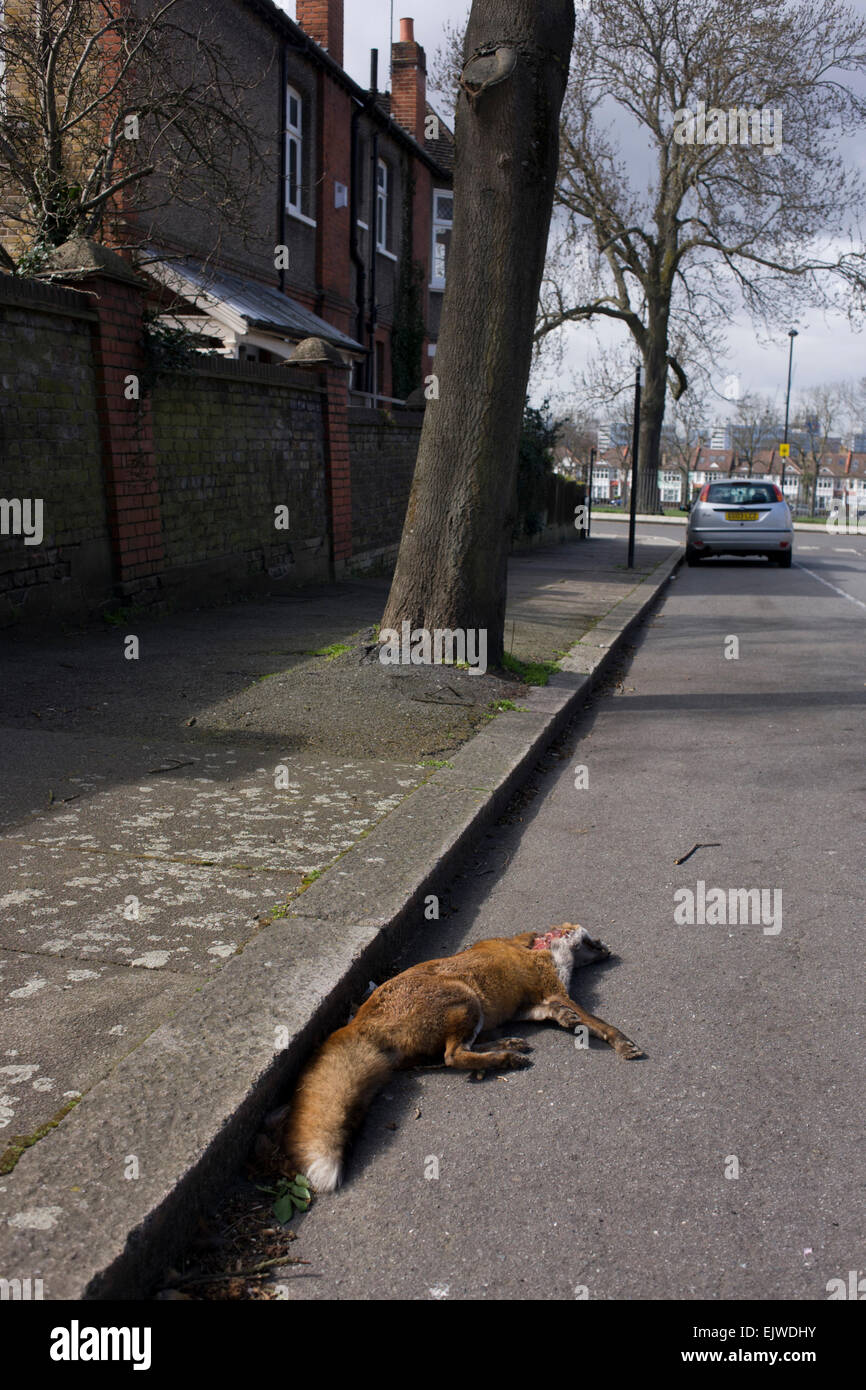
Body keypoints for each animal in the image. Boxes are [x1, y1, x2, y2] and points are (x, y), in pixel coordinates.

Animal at [276, 924, 644, 1192]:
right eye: (592, 940)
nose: (609, 949)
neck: (540, 946)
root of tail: (360, 1020)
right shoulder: (554, 989)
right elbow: (599, 1024)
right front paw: (622, 1043)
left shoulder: (532, 1004)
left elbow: (557, 1015)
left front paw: (567, 1022)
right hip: (467, 1000)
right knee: (453, 1056)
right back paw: (503, 1059)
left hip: (463, 1020)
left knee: (444, 1057)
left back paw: (504, 1048)